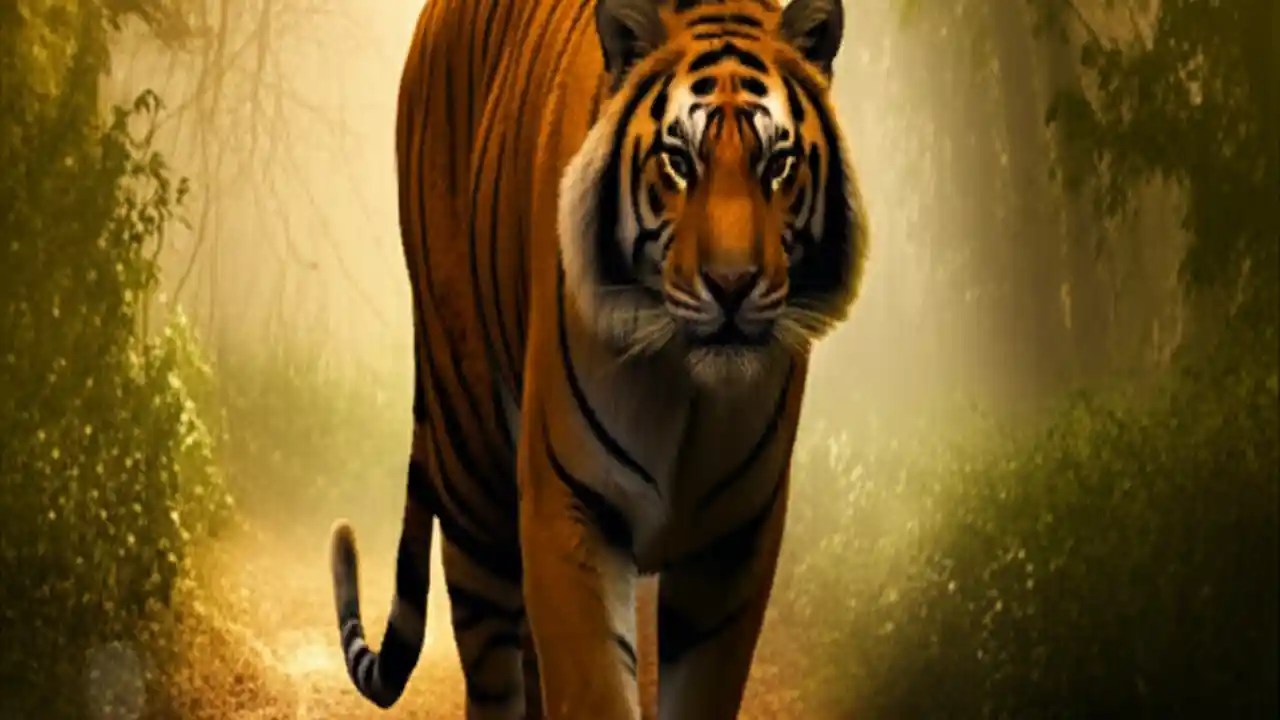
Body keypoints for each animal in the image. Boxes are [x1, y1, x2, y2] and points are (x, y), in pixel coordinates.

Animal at [327, 0, 866, 717]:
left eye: (777, 163)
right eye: (678, 161)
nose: (731, 286)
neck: (687, 389)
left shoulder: (735, 541)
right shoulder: (571, 507)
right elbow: (592, 685)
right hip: (471, 460)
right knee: (492, 667)